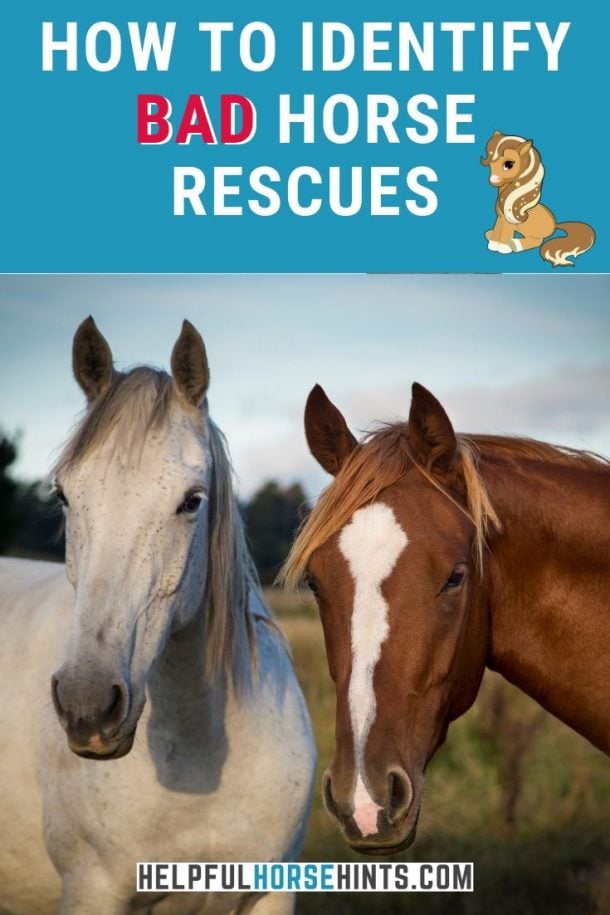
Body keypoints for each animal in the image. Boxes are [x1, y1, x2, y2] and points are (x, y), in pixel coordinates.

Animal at [481, 130, 596, 267]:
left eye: (508, 164)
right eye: (489, 162)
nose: (493, 180)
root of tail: (555, 224)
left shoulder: (509, 221)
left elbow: (505, 233)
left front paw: (503, 247)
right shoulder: (501, 218)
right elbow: (498, 229)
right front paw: (493, 243)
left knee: (537, 242)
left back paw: (515, 244)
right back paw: (491, 234)